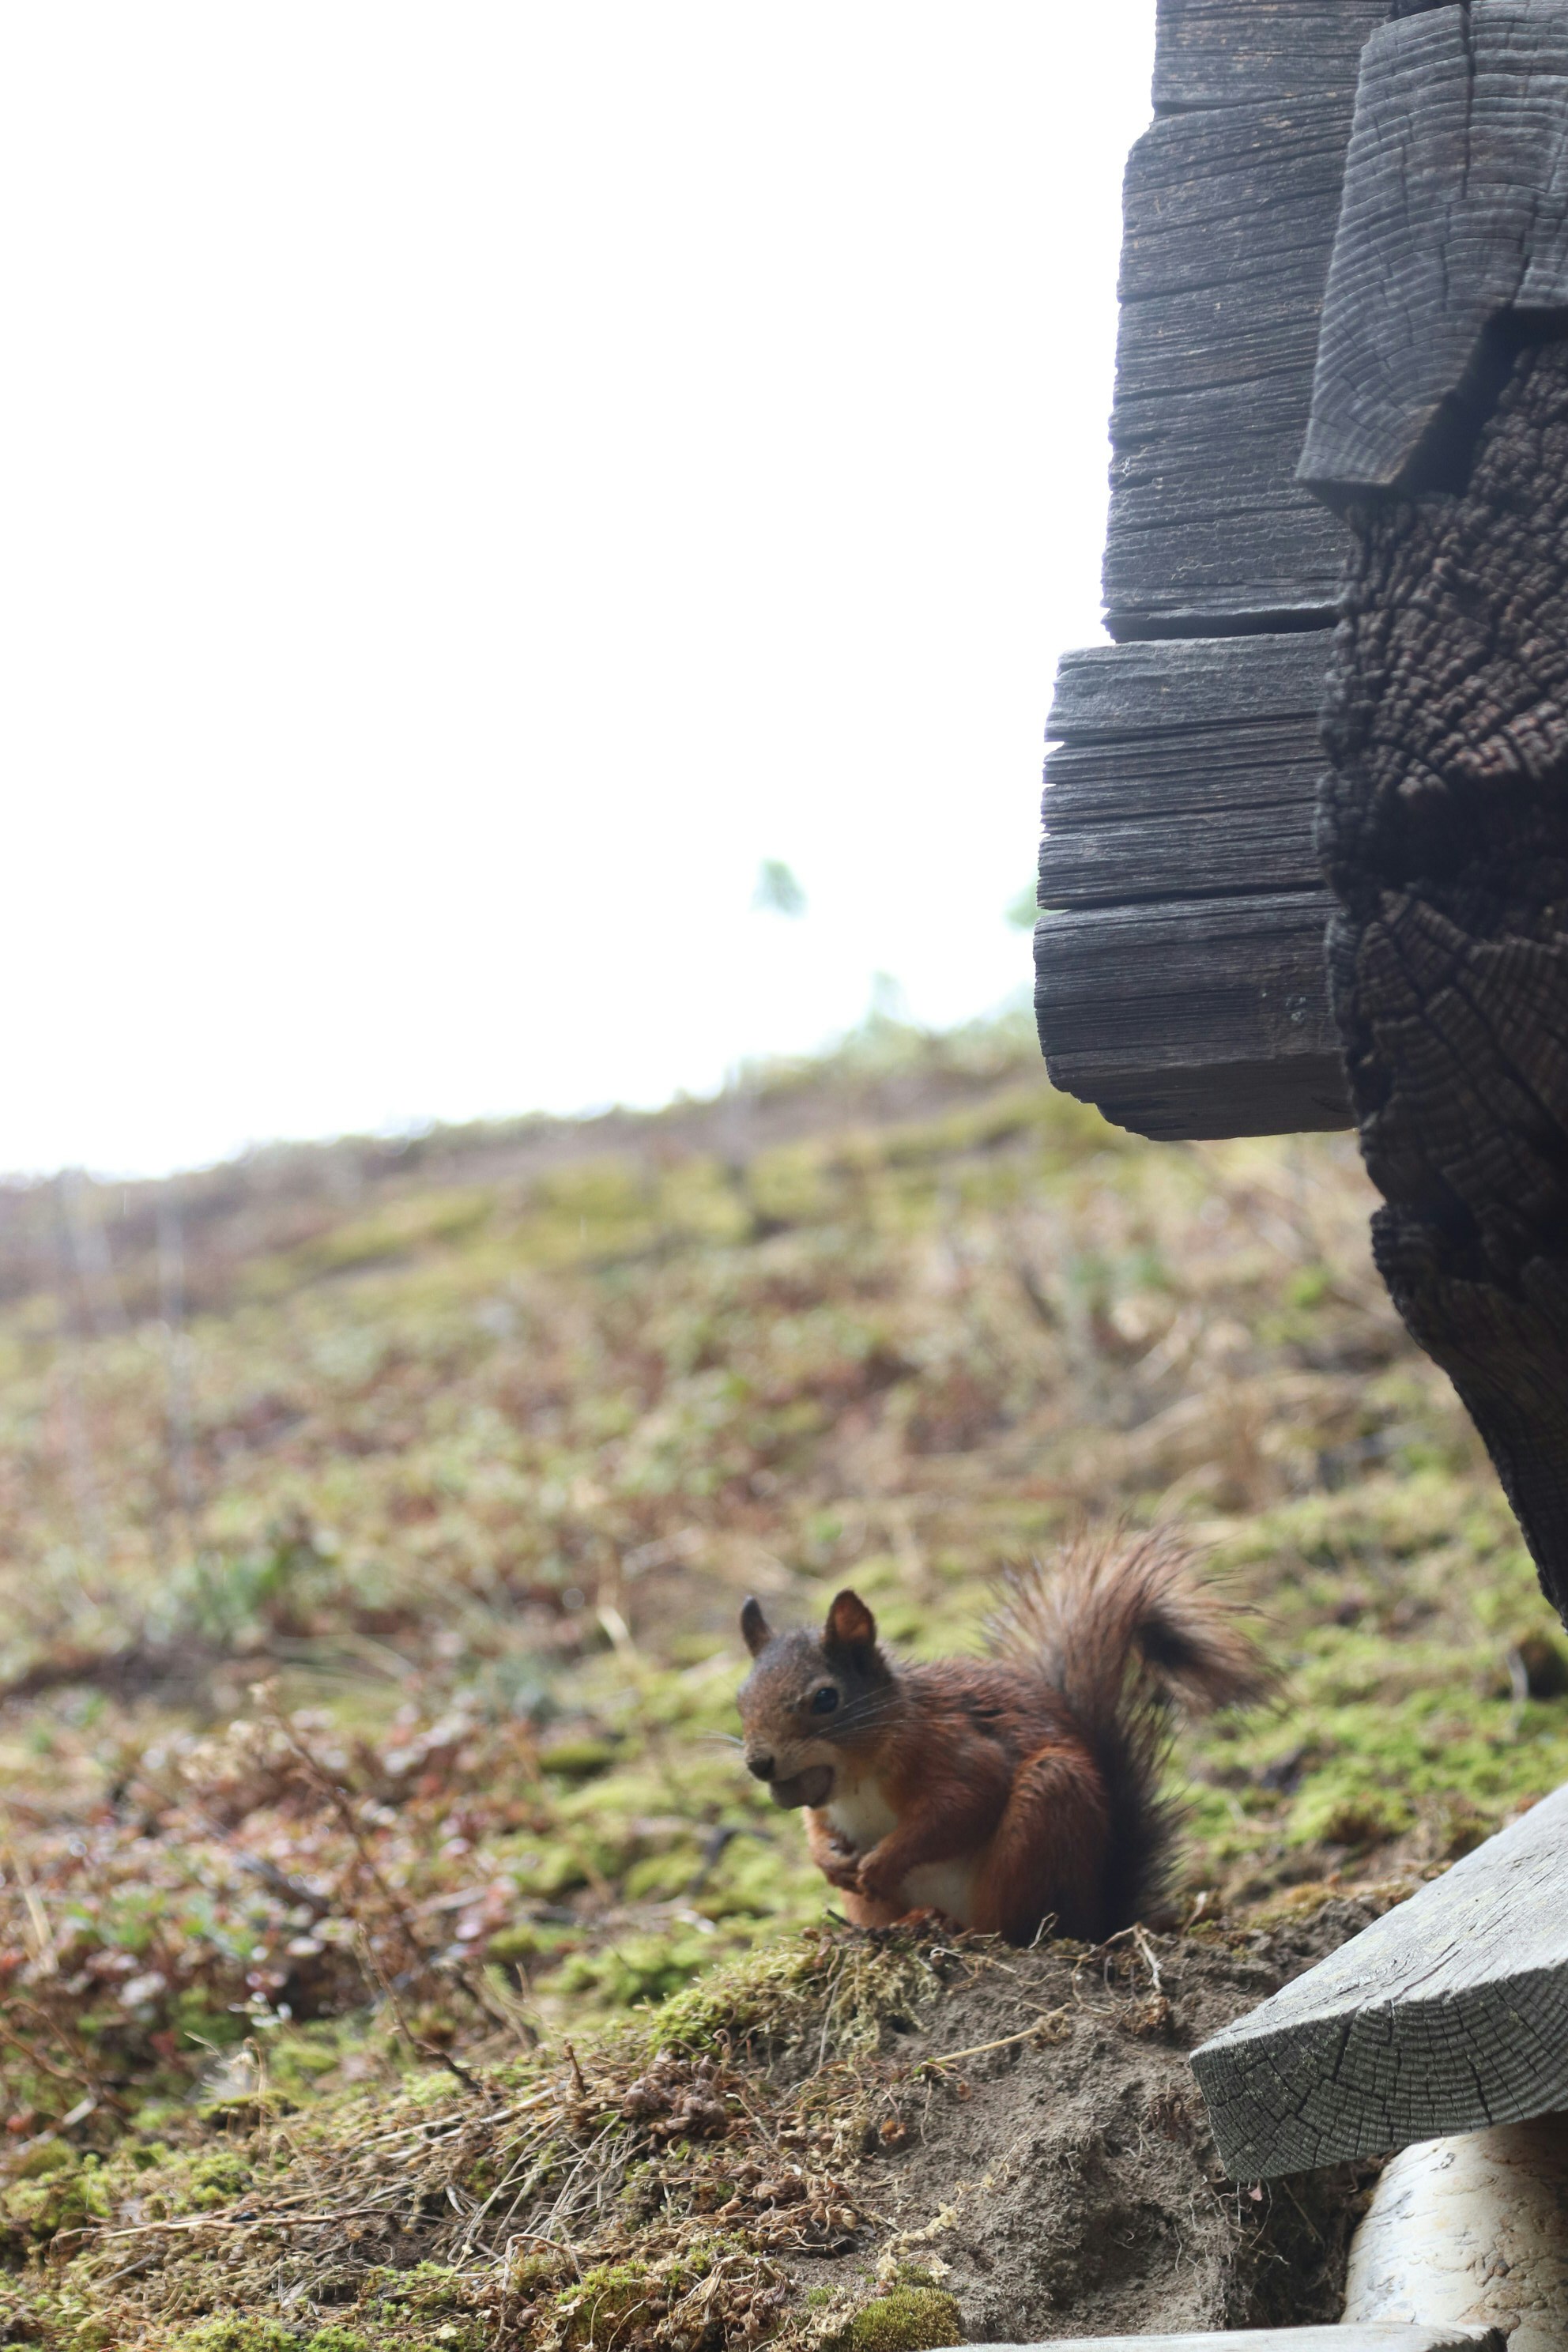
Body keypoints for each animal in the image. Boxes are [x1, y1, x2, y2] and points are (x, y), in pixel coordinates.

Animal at [736, 1528, 1271, 1945]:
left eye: (826, 1698)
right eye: (740, 1698)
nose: (758, 1764)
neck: (855, 1779)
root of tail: (1096, 1918)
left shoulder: (953, 1749)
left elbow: (962, 1805)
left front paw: (882, 1862)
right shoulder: (828, 1808)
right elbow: (817, 1829)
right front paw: (830, 1862)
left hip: (1044, 1812)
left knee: (1010, 1928)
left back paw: (947, 1926)